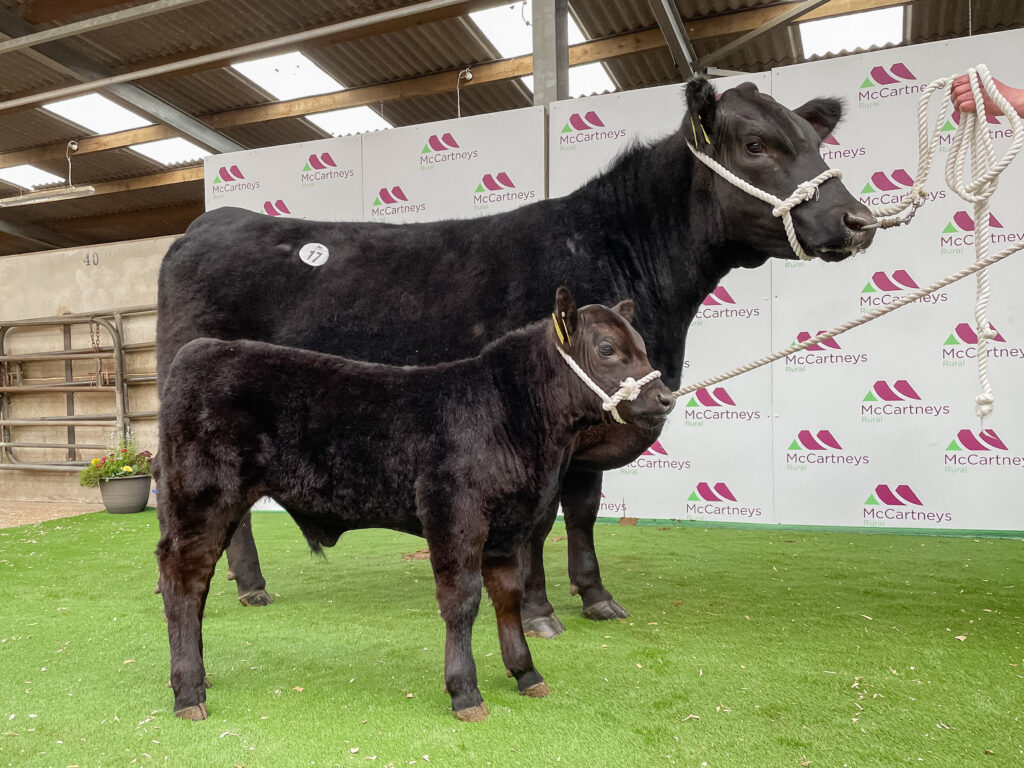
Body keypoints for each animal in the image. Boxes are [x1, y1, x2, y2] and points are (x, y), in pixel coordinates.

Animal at [155, 287, 673, 721]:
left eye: (641, 345)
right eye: (606, 349)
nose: (665, 397)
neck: (507, 413)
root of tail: (199, 350)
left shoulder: (507, 527)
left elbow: (508, 596)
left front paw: (526, 673)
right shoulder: (454, 514)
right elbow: (462, 600)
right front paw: (465, 692)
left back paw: (199, 678)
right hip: (203, 496)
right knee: (184, 580)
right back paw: (188, 693)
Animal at [156, 78, 876, 636]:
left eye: (816, 143)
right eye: (755, 145)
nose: (858, 221)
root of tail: (209, 223)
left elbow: (583, 509)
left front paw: (595, 596)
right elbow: (540, 520)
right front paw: (537, 610)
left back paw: (249, 585)